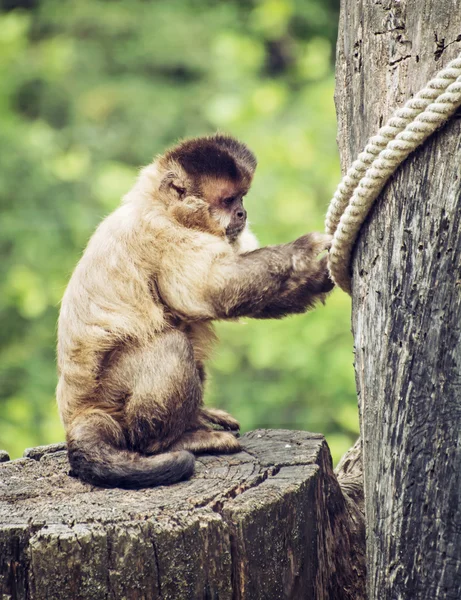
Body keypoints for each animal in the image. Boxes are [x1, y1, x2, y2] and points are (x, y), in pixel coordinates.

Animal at [55, 135, 332, 488]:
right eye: (228, 200)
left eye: (242, 198)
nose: (242, 212)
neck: (163, 208)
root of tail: (77, 412)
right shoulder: (160, 234)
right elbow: (211, 289)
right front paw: (304, 253)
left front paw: (317, 277)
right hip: (110, 395)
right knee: (171, 344)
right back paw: (168, 441)